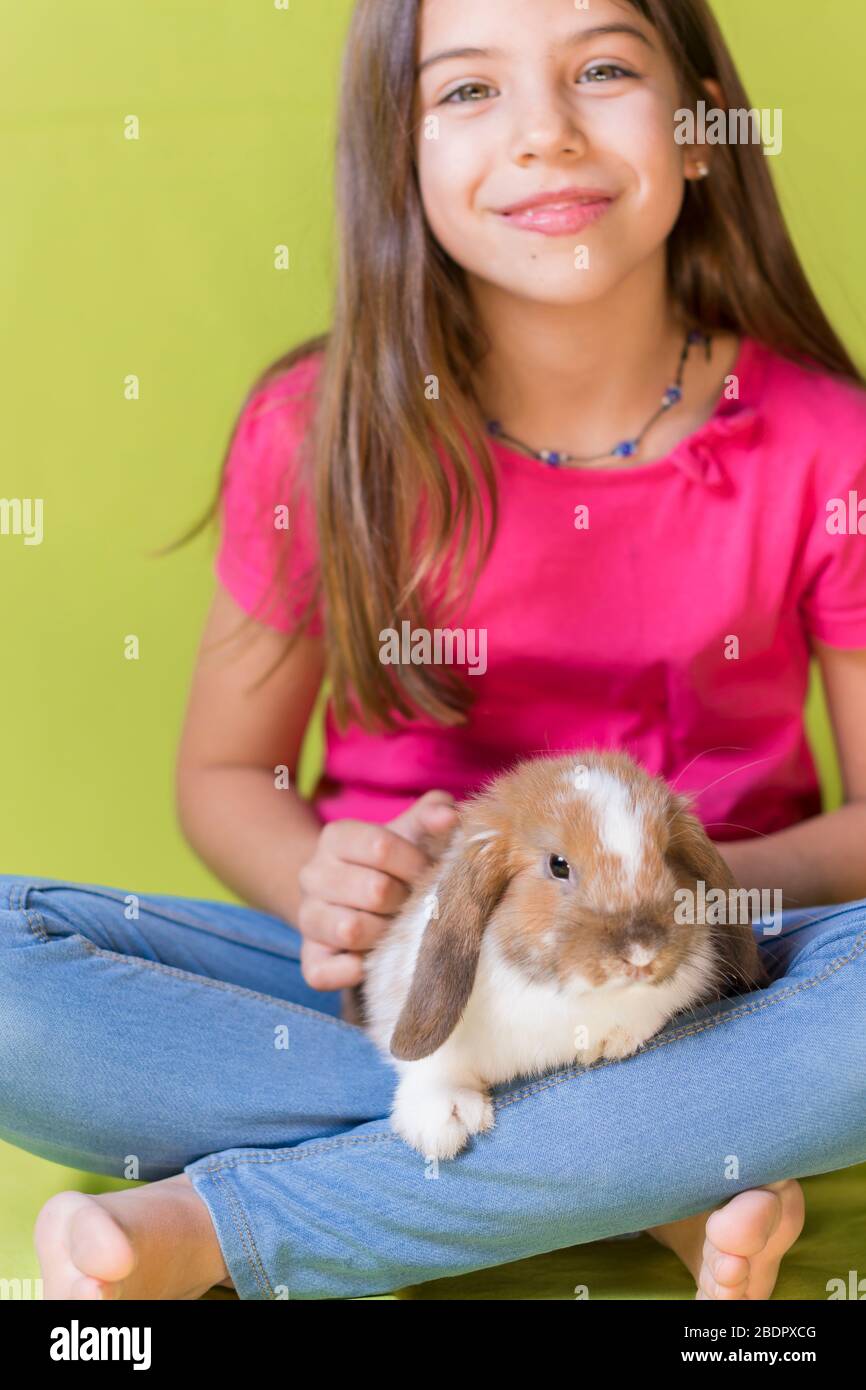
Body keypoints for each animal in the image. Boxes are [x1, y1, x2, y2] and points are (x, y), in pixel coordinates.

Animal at [356, 749, 770, 1160]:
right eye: (558, 865)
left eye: (669, 856)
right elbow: (433, 1067)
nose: (642, 955)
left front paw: (614, 1039)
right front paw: (448, 1117)